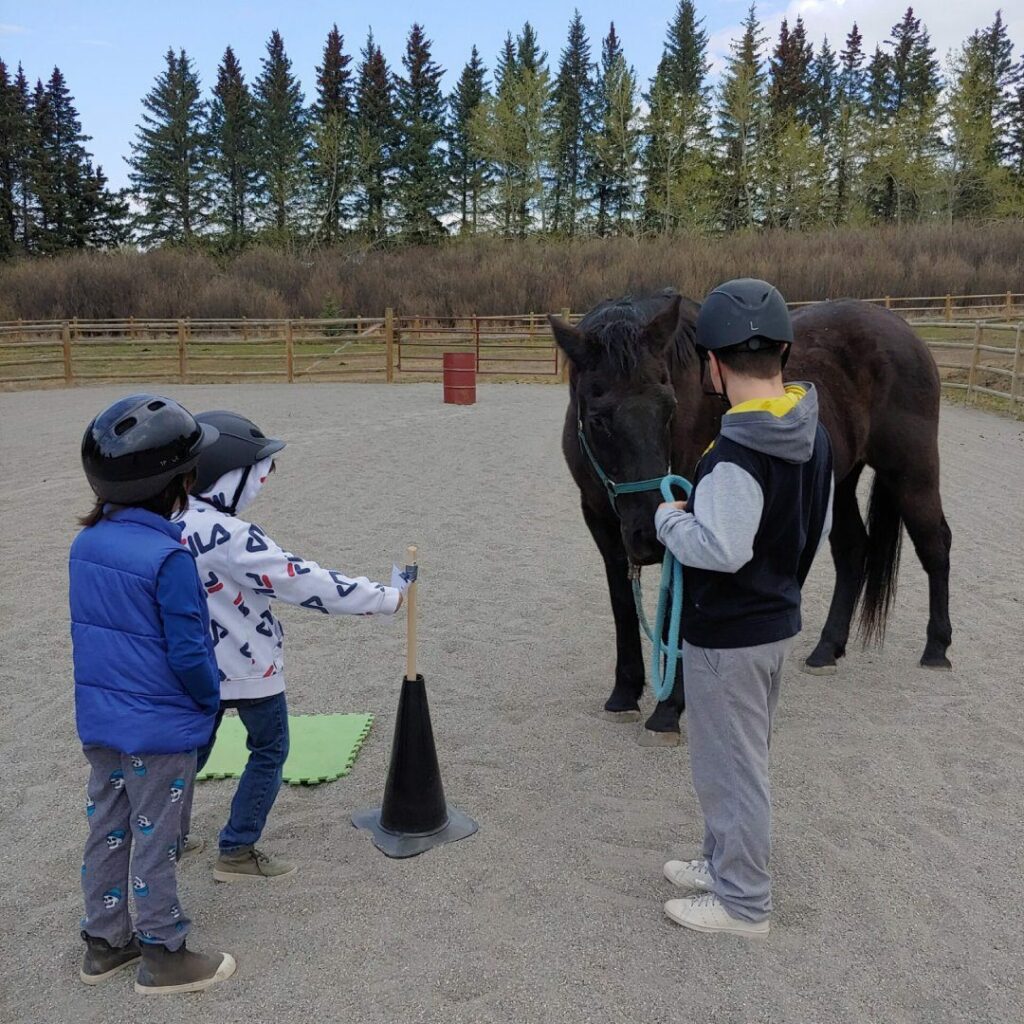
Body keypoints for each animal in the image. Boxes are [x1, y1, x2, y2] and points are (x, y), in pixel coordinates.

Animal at [550, 291, 952, 745]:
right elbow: (622, 604)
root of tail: (901, 328)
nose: (649, 538)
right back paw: (826, 650)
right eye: (598, 418)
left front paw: (668, 710)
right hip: (841, 481)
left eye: (669, 407)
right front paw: (624, 694)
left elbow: (682, 612)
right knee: (854, 551)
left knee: (935, 544)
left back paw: (937, 648)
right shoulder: (602, 522)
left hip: (911, 472)